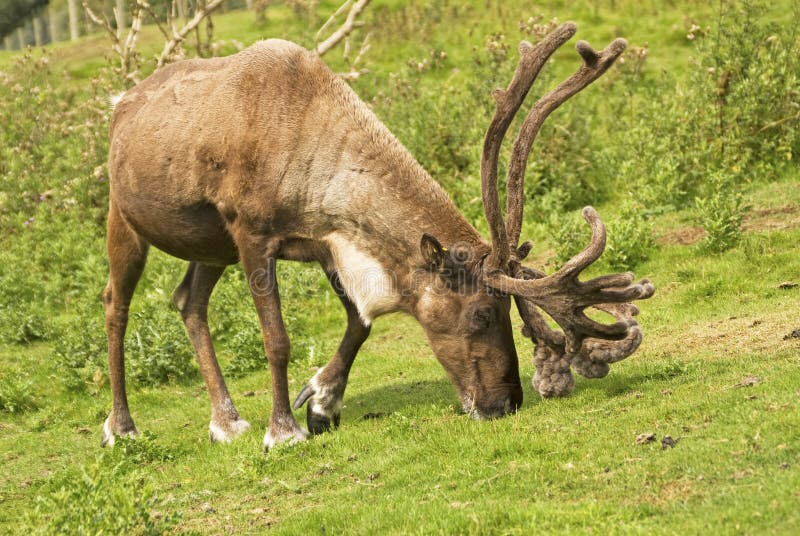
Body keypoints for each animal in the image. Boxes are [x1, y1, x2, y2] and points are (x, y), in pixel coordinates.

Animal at [101, 21, 654, 450]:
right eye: (480, 313)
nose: (506, 403)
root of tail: (121, 102)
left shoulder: (329, 244)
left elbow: (360, 322)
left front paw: (322, 403)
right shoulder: (252, 234)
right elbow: (277, 338)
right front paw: (283, 430)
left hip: (210, 245)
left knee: (188, 301)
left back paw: (226, 421)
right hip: (124, 215)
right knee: (115, 304)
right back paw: (122, 428)